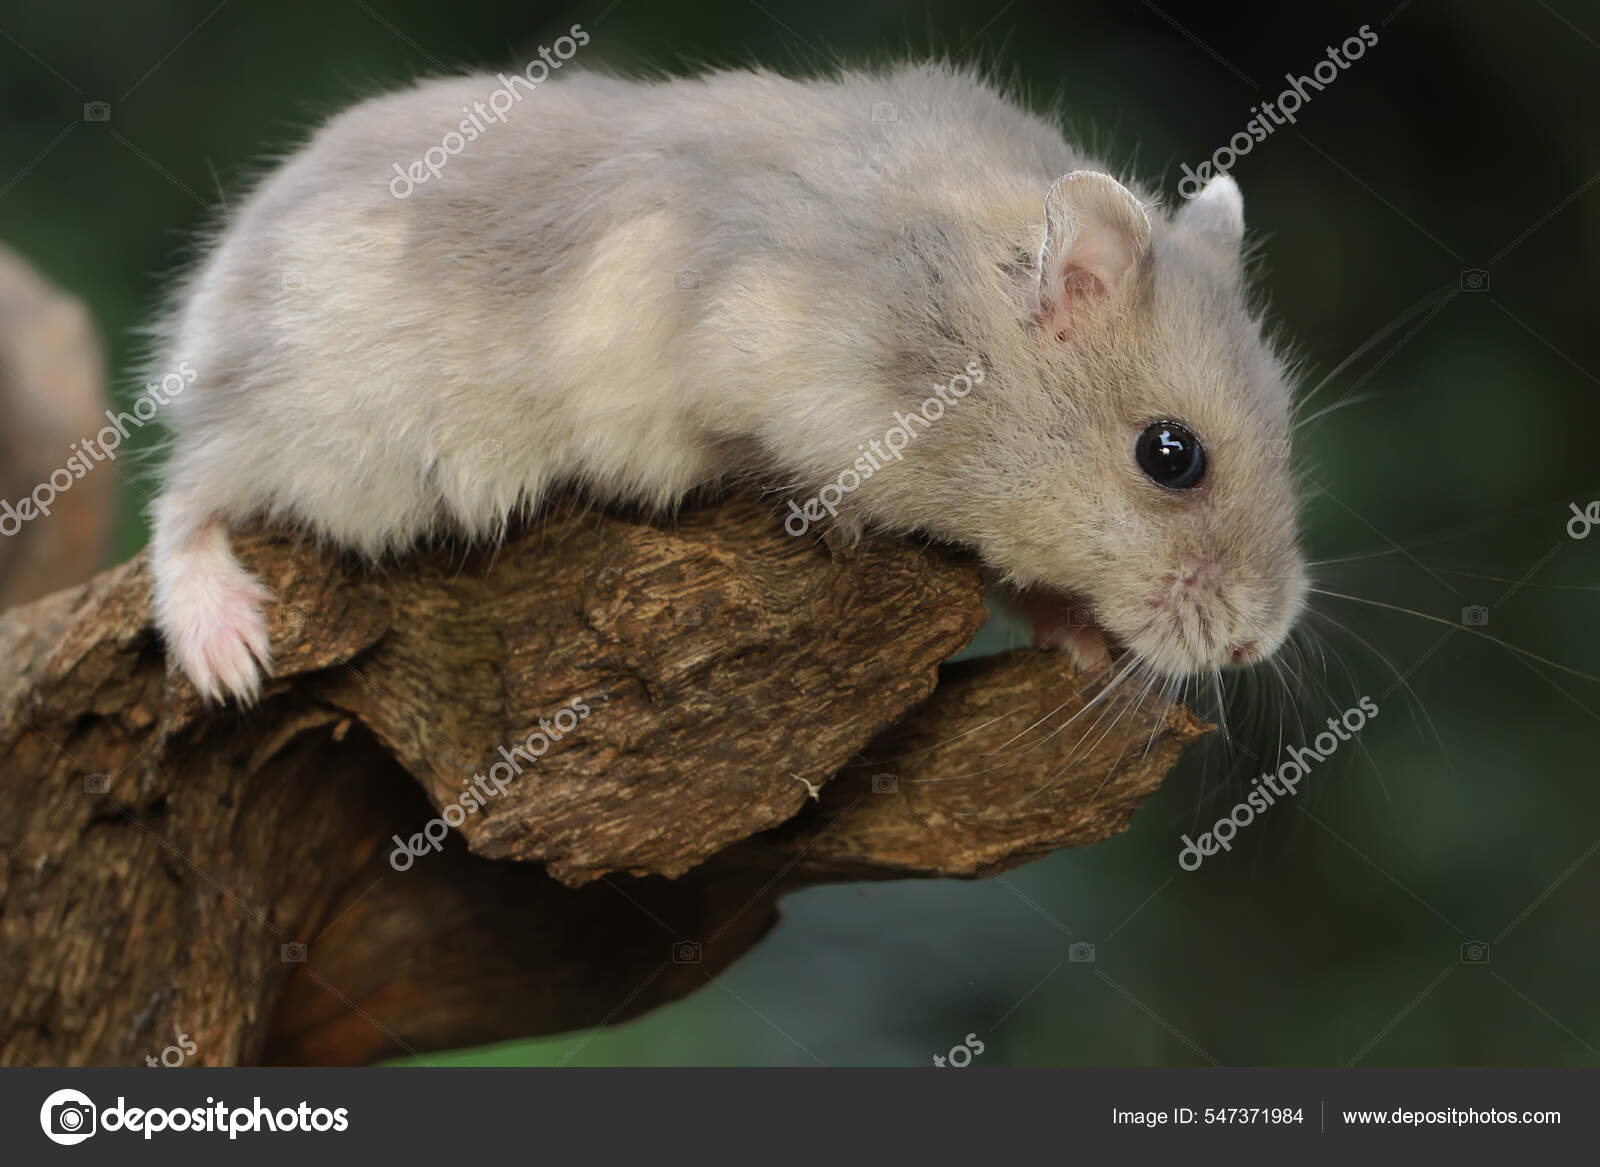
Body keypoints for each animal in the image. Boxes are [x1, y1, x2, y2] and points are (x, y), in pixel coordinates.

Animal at [147, 62, 1307, 703]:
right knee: (187, 496)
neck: (948, 339)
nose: (1259, 644)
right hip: (330, 433)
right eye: (1171, 456)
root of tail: (207, 311)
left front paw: (1082, 643)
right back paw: (229, 657)